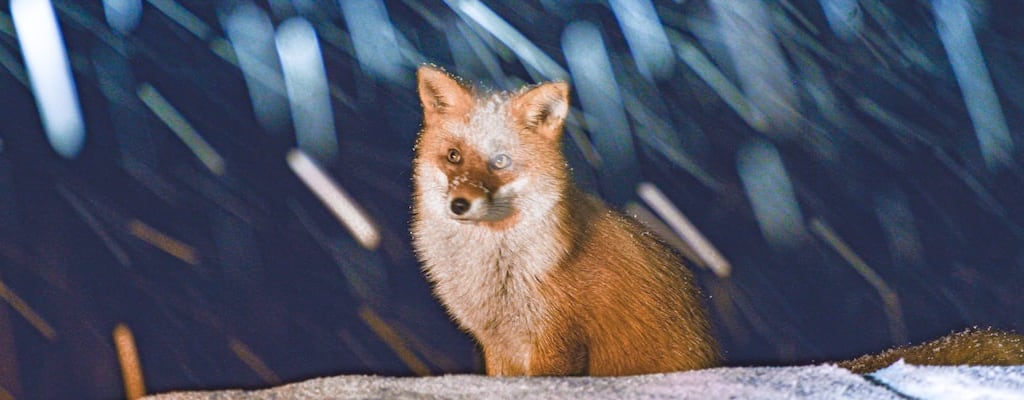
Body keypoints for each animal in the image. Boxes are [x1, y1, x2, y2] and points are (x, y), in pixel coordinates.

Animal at [409, 65, 1024, 376]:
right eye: (455, 157)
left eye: (501, 162)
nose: (460, 205)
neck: (497, 270)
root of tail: (712, 359)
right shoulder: (496, 345)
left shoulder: (557, 340)